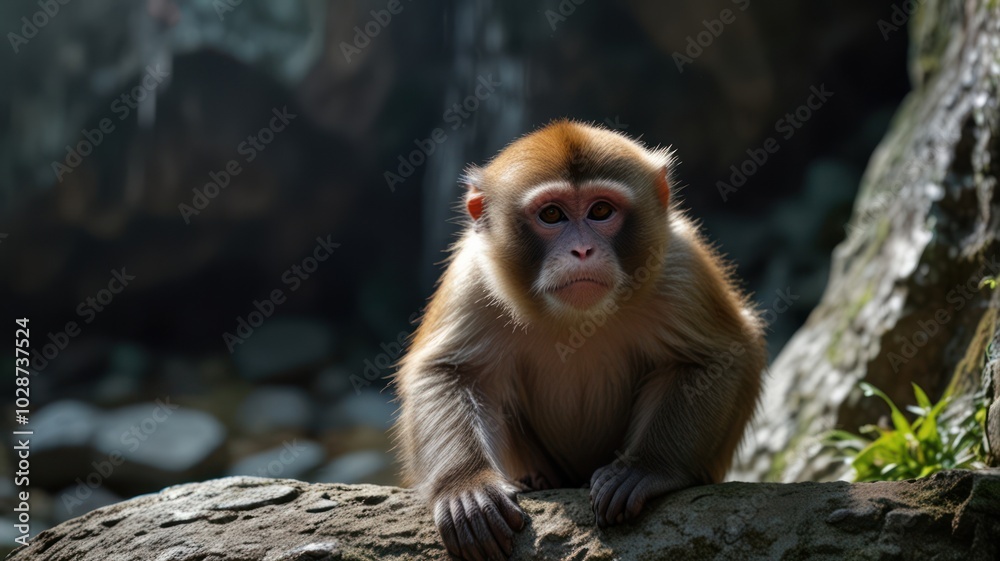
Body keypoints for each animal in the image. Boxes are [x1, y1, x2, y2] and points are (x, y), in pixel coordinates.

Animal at [393, 120, 766, 560]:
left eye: (601, 210)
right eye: (552, 214)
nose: (583, 250)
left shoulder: (679, 264)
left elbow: (716, 356)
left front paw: (645, 468)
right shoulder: (473, 277)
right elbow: (447, 371)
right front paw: (466, 487)